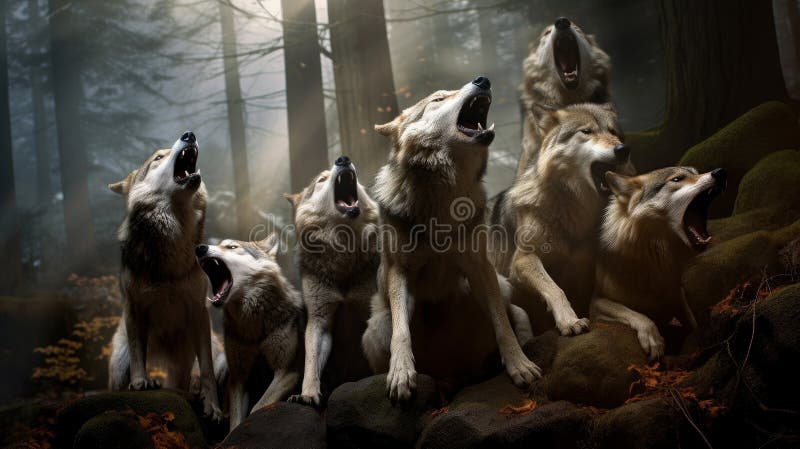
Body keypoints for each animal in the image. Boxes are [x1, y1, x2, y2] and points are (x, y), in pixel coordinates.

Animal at [107, 131, 221, 421]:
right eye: (158, 157)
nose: (189, 135)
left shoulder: (199, 311)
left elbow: (207, 369)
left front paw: (213, 406)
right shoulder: (134, 308)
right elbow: (139, 353)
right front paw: (141, 382)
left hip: (188, 360)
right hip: (119, 365)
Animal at [195, 234, 303, 428]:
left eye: (231, 247)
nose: (199, 248)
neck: (253, 327)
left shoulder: (287, 372)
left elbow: (258, 408)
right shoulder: (238, 379)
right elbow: (236, 419)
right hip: (223, 364)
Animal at [362, 76, 540, 402]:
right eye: (438, 99)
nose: (482, 79)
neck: (442, 197)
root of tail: (454, 371)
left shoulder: (480, 267)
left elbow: (501, 322)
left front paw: (519, 364)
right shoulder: (399, 271)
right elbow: (401, 333)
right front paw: (401, 373)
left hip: (496, 285)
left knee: (516, 310)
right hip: (376, 326)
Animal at [488, 103, 633, 335]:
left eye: (613, 132)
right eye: (587, 131)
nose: (623, 149)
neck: (574, 211)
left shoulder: (584, 268)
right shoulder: (523, 259)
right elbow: (555, 288)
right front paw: (570, 321)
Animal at [592, 167, 727, 359]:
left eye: (696, 172)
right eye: (677, 179)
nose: (720, 172)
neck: (653, 261)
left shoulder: (677, 296)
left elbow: (693, 323)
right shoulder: (596, 303)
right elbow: (636, 314)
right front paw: (654, 340)